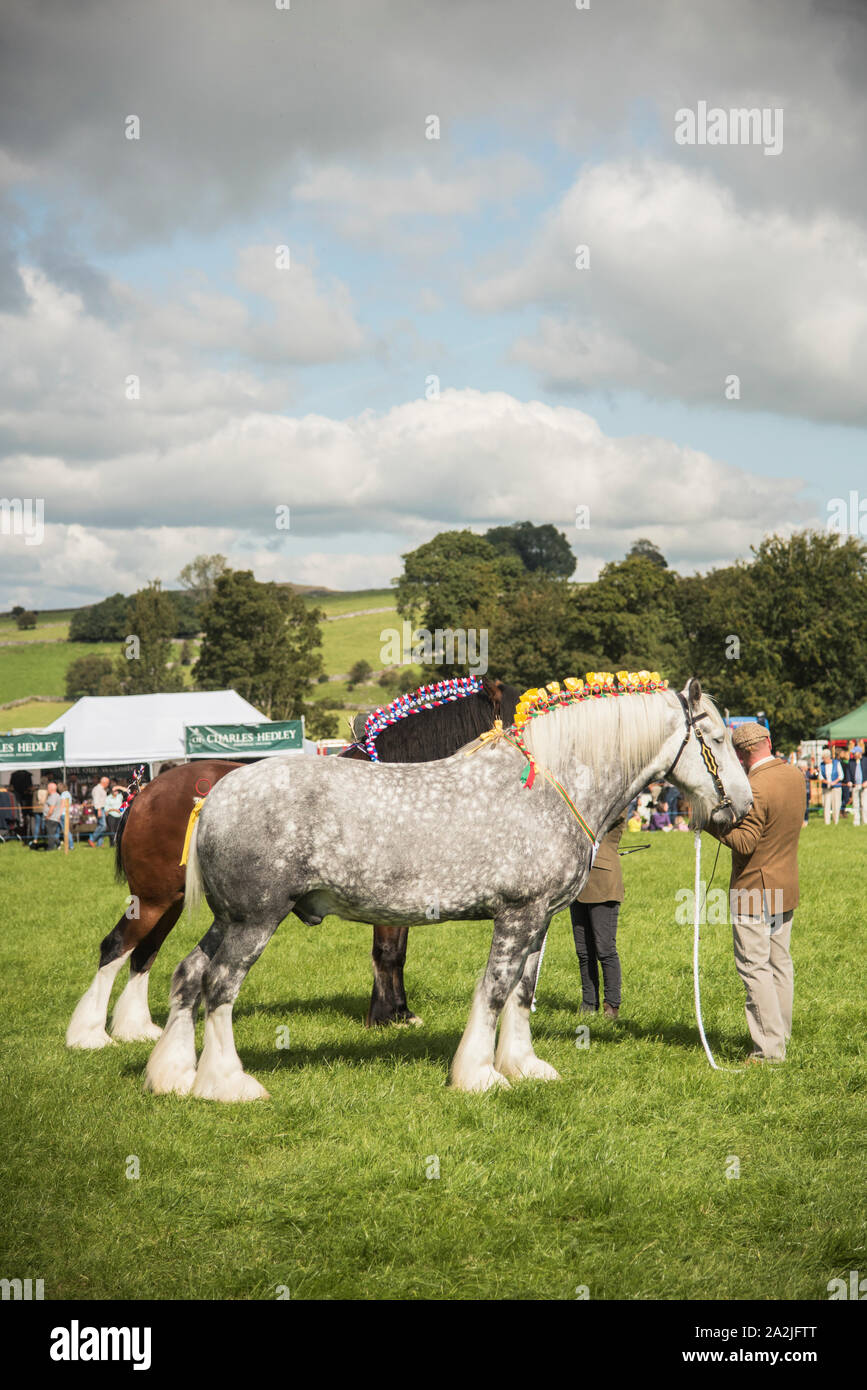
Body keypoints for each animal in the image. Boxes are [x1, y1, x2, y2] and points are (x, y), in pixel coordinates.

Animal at [65, 676, 518, 1049]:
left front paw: (396, 1011)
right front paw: (386, 1015)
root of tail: (145, 790)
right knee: (116, 946)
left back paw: (136, 1029)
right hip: (152, 899)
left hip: (168, 901)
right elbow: (389, 953)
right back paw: (90, 1035)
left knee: (143, 953)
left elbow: (395, 953)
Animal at [143, 675, 752, 1101]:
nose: (742, 808)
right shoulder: (517, 915)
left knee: (188, 974)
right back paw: (228, 1084)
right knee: (219, 986)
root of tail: (212, 797)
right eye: (717, 738)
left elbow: (521, 994)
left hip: (227, 920)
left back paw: (172, 1075)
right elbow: (495, 989)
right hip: (254, 921)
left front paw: (523, 1066)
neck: (551, 785)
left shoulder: (540, 919)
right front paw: (479, 1075)